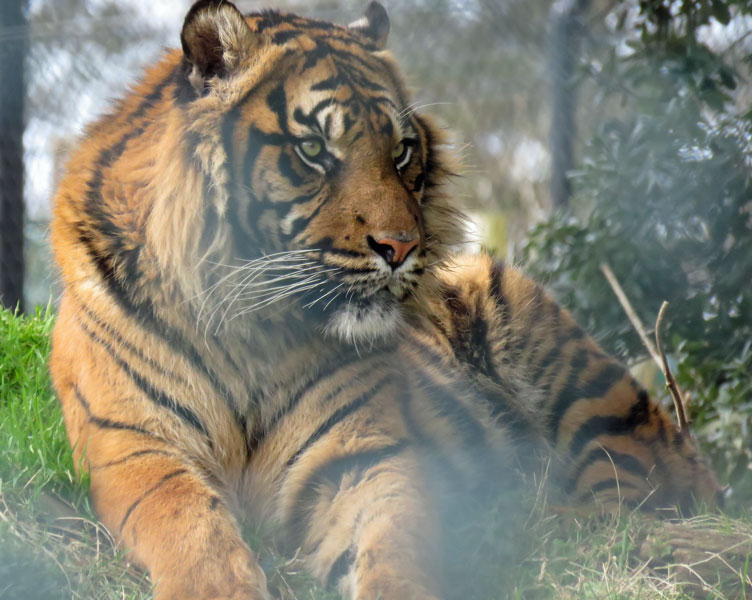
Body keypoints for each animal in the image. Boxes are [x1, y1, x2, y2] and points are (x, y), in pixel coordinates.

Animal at [49, 1, 722, 599]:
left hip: (571, 367)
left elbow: (394, 545)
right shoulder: (136, 447)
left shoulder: (362, 457)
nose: (400, 246)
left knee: (638, 487)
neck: (252, 329)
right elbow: (187, 526)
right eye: (313, 151)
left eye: (400, 152)